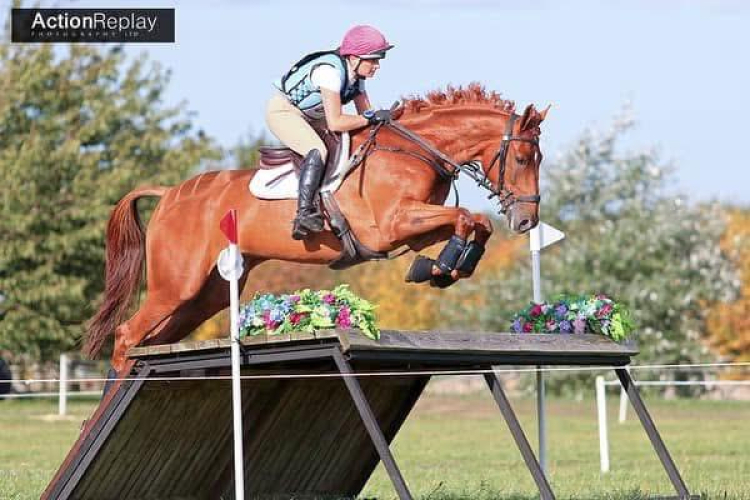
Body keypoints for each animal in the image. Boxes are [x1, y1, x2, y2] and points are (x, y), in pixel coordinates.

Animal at [84, 84, 549, 374]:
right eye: (523, 159)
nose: (526, 221)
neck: (415, 150)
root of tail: (168, 195)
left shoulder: (413, 227)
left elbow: (476, 222)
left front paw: (441, 269)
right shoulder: (391, 225)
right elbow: (468, 217)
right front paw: (444, 267)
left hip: (204, 296)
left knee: (152, 339)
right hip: (176, 285)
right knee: (127, 335)